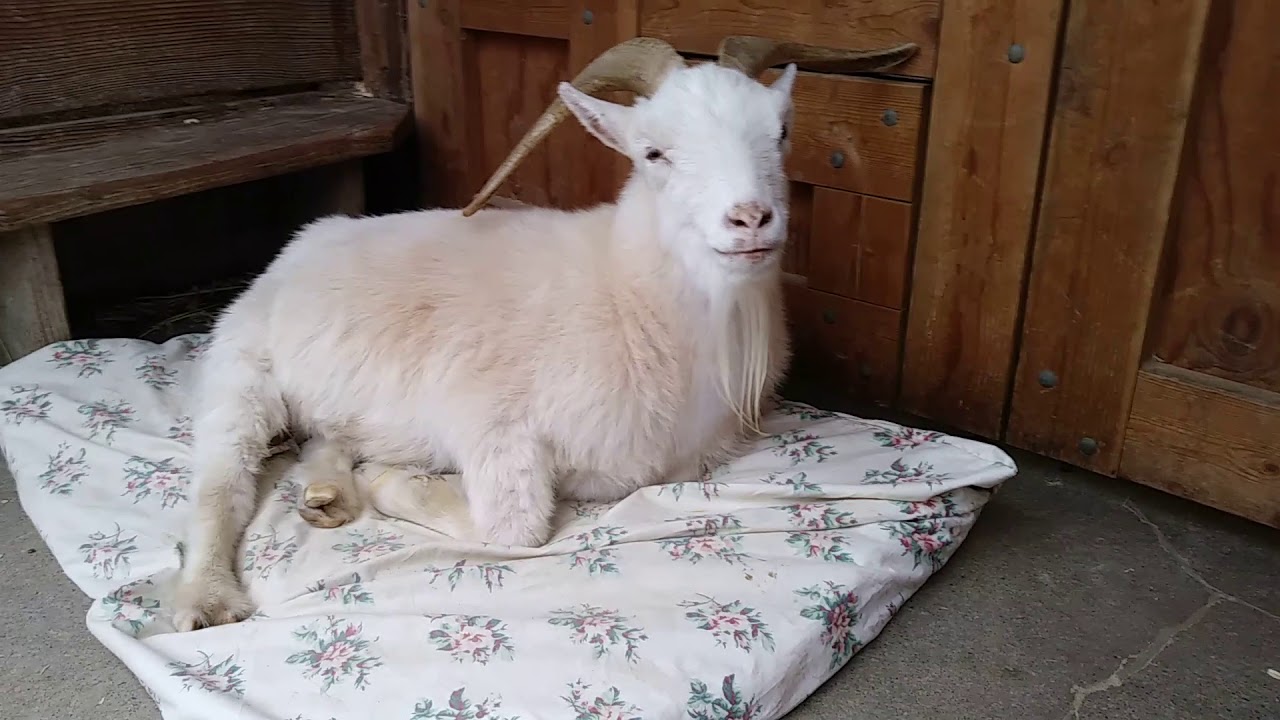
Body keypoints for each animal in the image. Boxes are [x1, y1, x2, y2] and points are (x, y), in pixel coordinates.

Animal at [171, 35, 917, 631]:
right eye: (653, 152)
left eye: (782, 131)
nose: (751, 218)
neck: (630, 297)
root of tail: (300, 245)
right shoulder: (492, 424)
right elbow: (514, 530)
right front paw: (388, 481)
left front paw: (365, 480)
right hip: (242, 367)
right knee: (219, 487)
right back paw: (209, 599)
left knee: (322, 437)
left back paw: (328, 492)